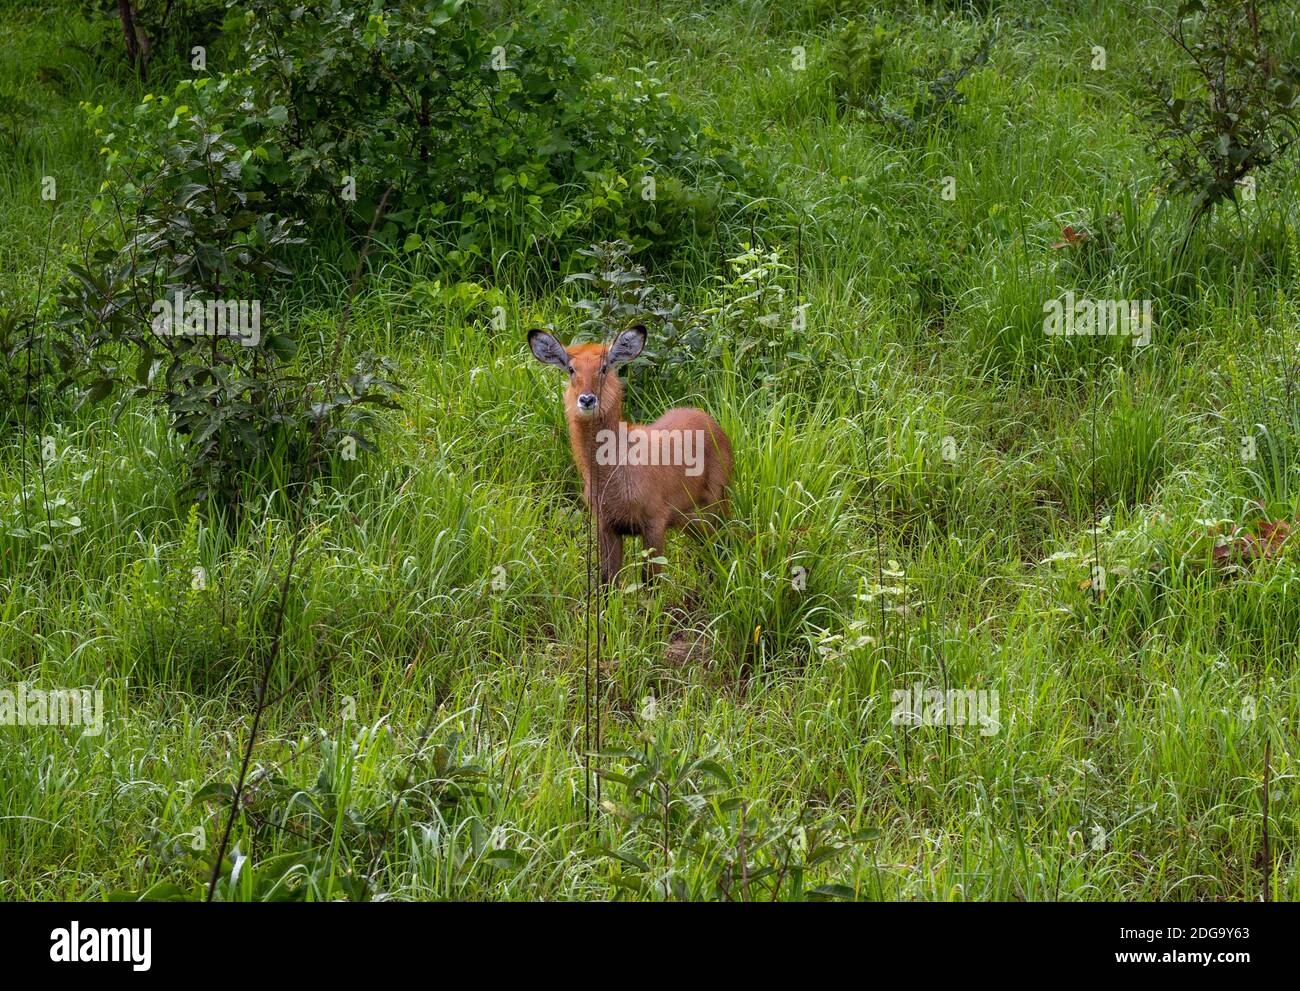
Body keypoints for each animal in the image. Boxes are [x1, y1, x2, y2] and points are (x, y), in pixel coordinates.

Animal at [528, 325, 732, 586]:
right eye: (571, 369)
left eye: (604, 367)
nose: (587, 399)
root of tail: (711, 422)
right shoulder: (606, 526)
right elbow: (607, 580)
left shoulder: (655, 522)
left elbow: (650, 582)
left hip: (718, 504)